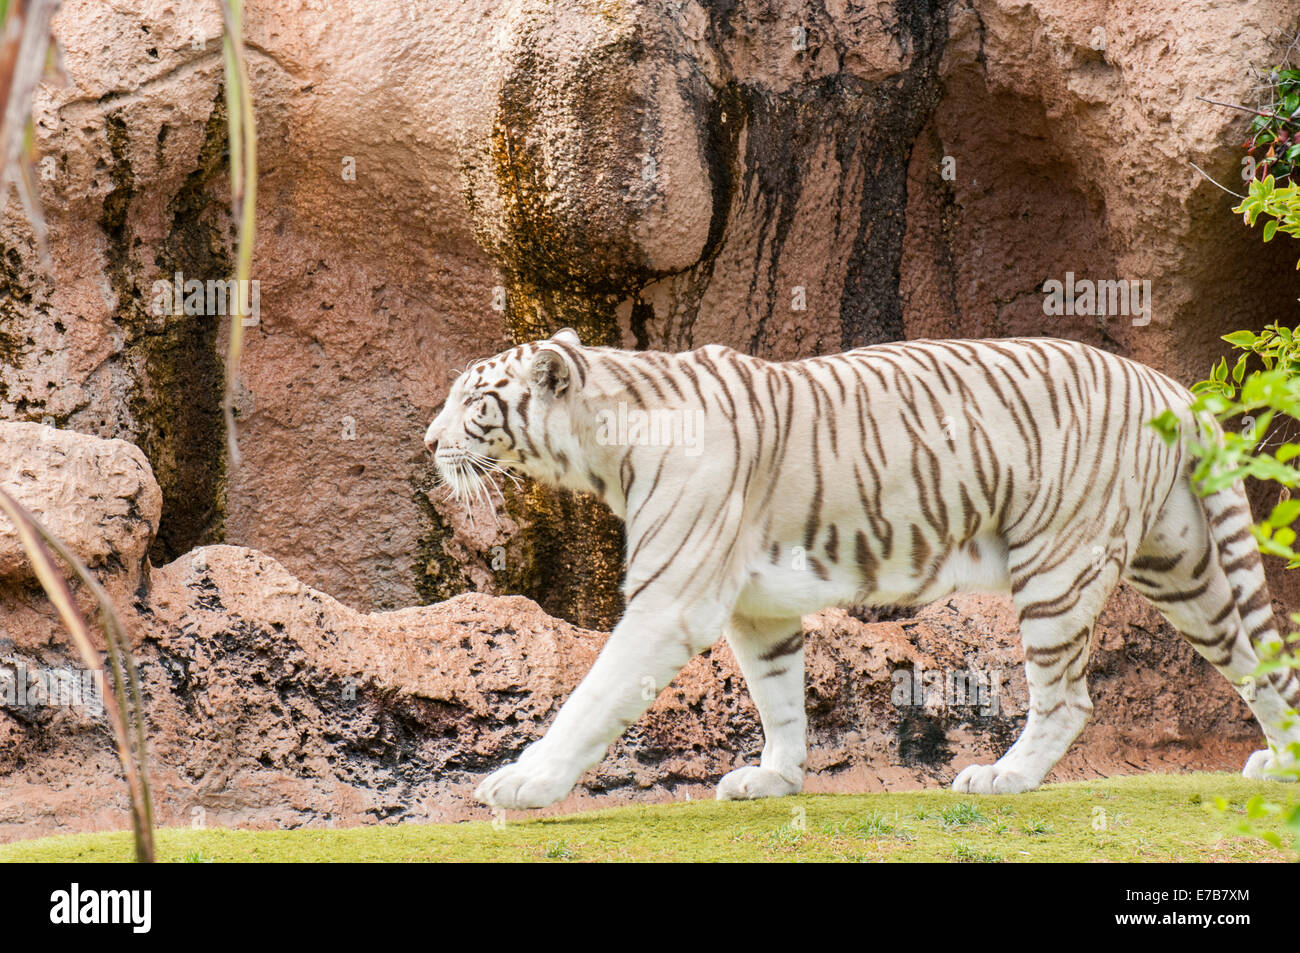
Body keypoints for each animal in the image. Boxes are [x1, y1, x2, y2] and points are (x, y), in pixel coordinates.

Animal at [422, 327, 1300, 809]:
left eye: (472, 402)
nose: (429, 441)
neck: (605, 444)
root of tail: (1169, 385)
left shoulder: (671, 601)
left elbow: (590, 699)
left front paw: (521, 783)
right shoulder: (758, 607)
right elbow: (778, 698)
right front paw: (775, 780)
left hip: (1058, 564)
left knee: (1068, 699)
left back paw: (1003, 776)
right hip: (1182, 567)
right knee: (1259, 661)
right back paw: (1282, 761)